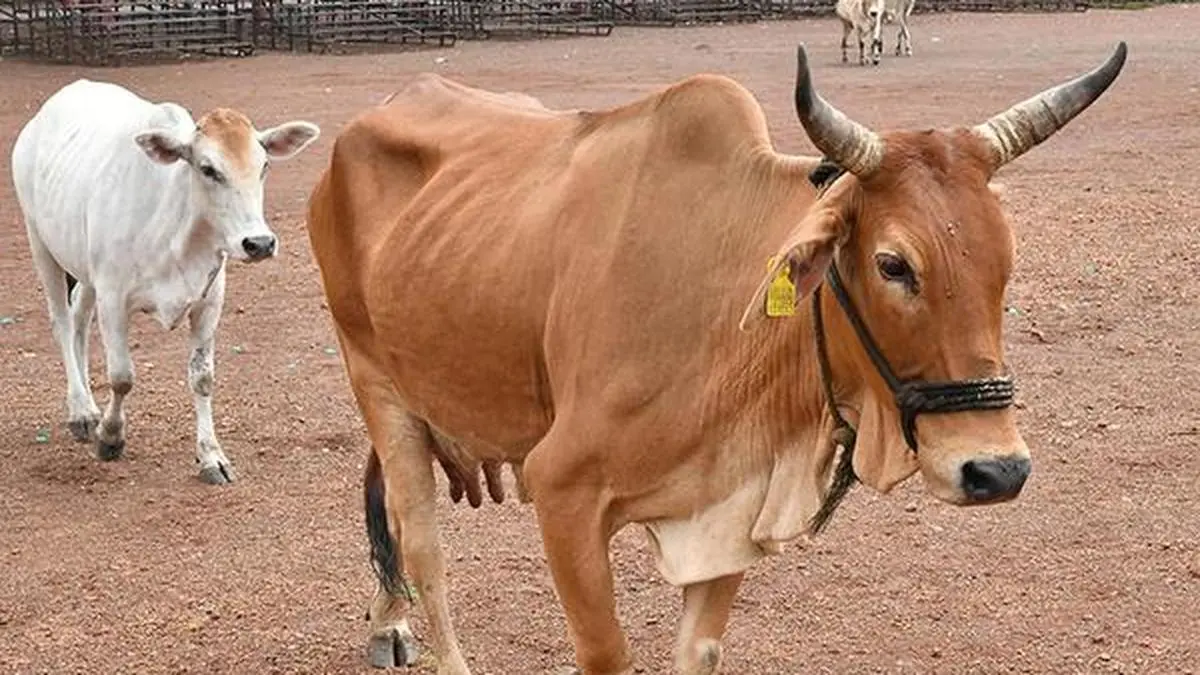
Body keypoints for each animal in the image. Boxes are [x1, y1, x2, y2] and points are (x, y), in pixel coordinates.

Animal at [11, 79, 320, 484]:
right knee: (62, 323)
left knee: (78, 319)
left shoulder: (209, 301)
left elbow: (202, 378)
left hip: (85, 268)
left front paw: (211, 456)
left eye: (264, 165)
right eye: (208, 168)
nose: (259, 243)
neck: (175, 227)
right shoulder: (113, 298)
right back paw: (80, 410)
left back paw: (88, 409)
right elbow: (122, 377)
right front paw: (110, 437)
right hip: (41, 243)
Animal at [304, 41, 1127, 675]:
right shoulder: (563, 490)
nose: (996, 470)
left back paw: (387, 619)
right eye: (895, 265)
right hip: (374, 379)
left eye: (1005, 261)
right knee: (422, 541)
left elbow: (696, 651)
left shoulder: (731, 503)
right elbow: (605, 652)